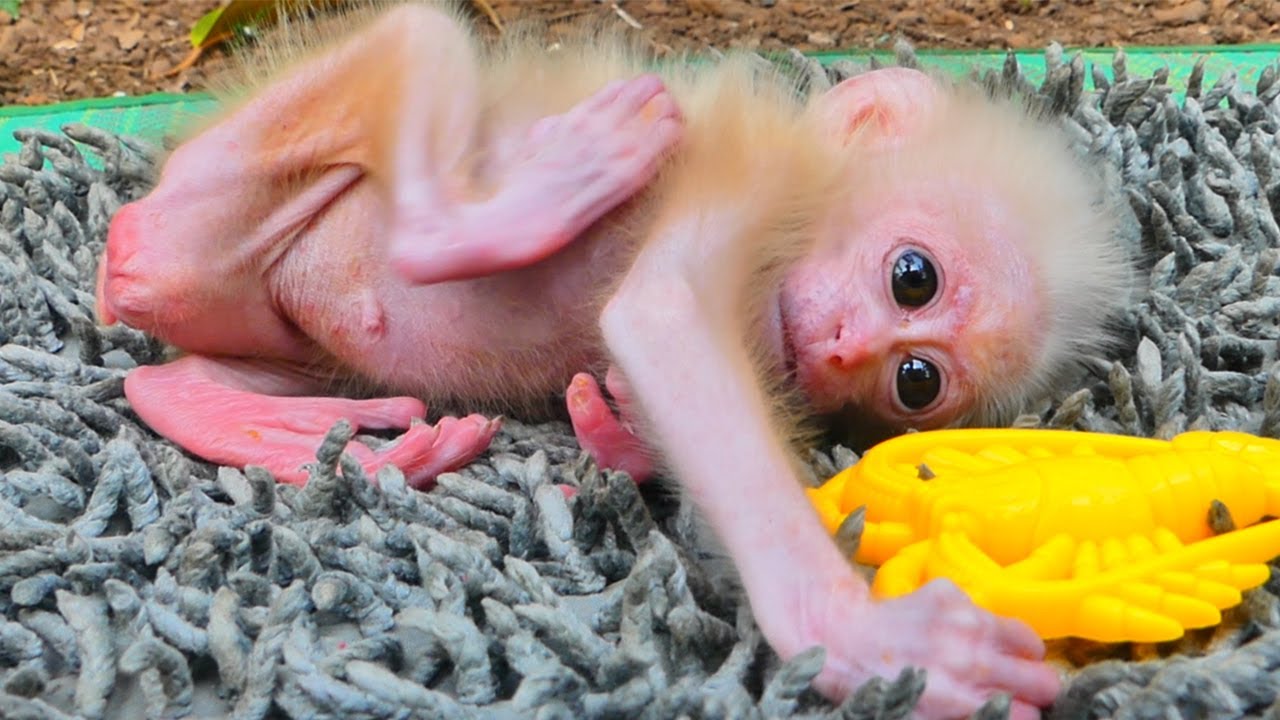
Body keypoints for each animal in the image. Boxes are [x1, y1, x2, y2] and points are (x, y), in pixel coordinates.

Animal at [93, 1, 1132, 717]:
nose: (848, 347)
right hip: (202, 209)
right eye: (912, 277)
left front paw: (618, 428)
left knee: (162, 373)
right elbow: (663, 312)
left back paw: (246, 413)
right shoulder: (759, 174)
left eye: (916, 381)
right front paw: (861, 635)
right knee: (422, 35)